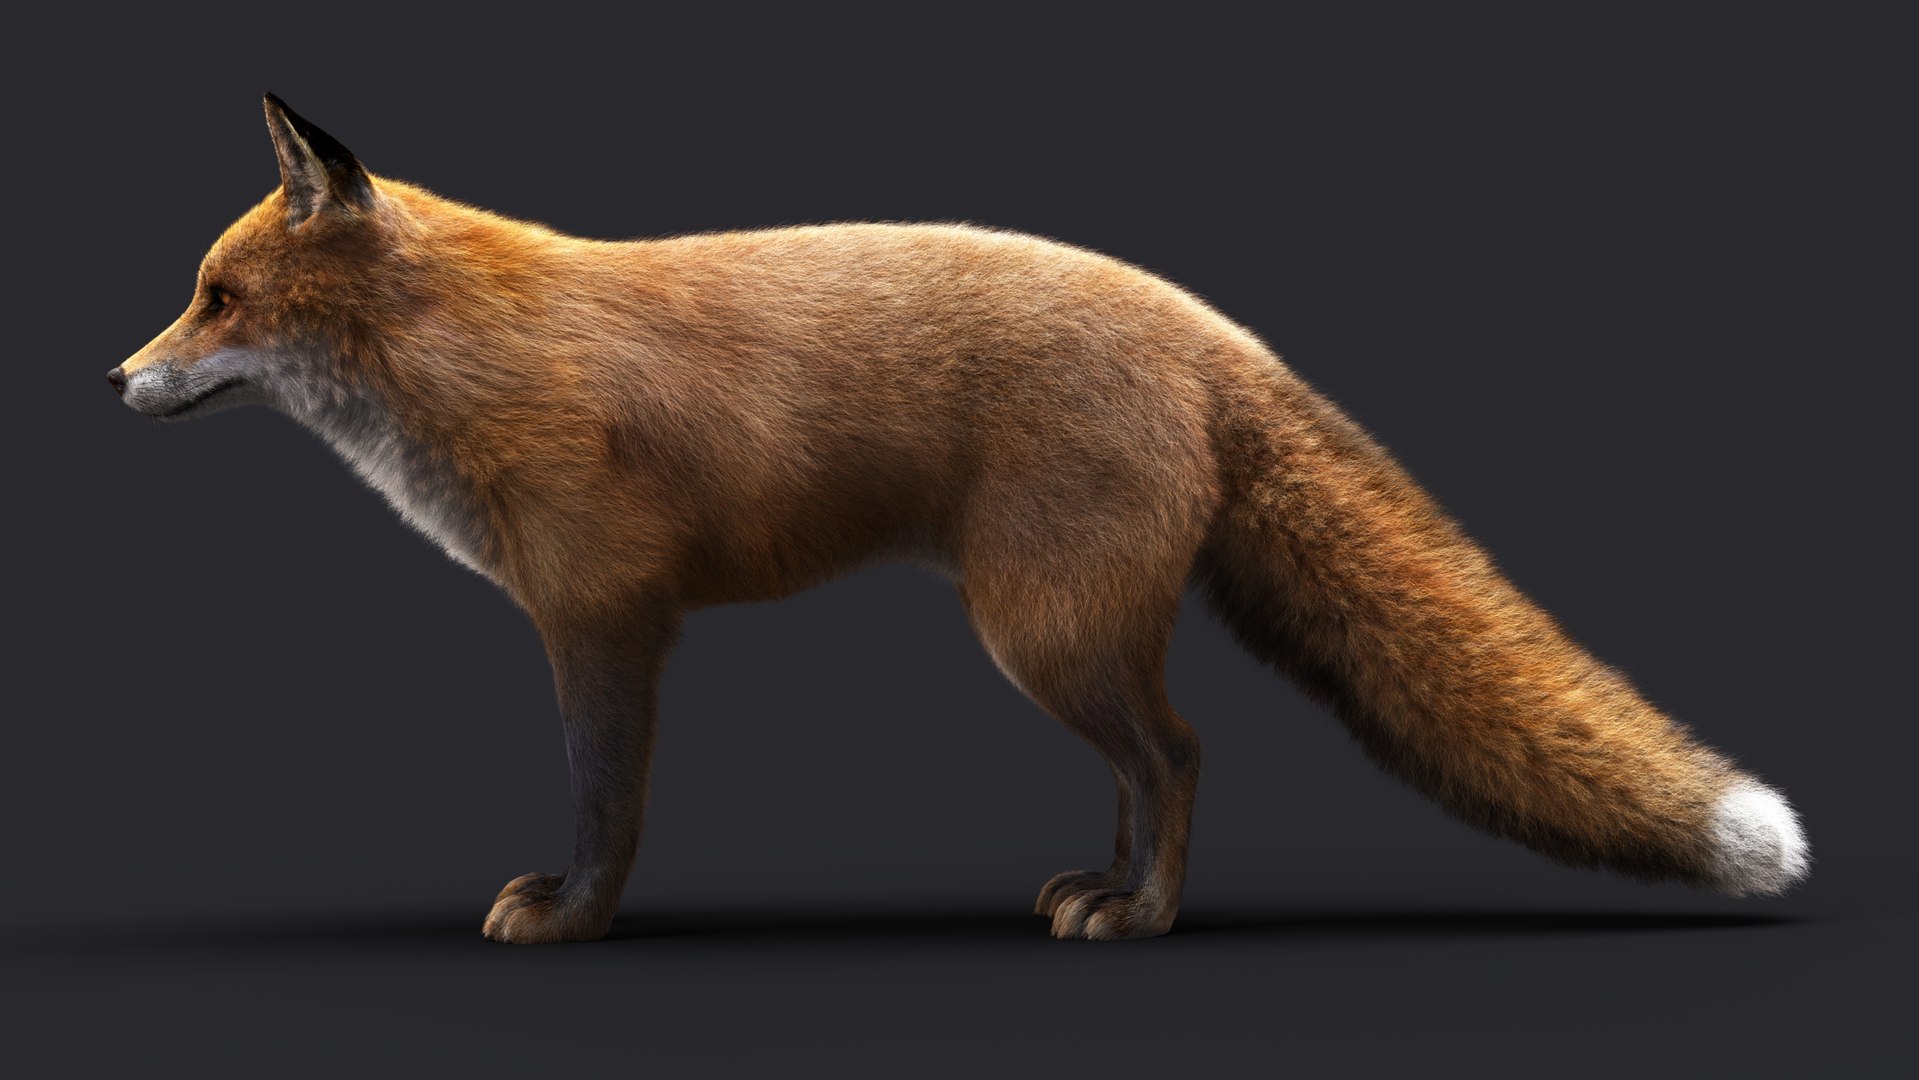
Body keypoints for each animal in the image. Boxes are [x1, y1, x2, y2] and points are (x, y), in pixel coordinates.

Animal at [110, 95, 1808, 944]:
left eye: (217, 296)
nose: (116, 379)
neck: (469, 353)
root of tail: (1210, 329)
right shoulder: (606, 621)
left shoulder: (604, 621)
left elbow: (606, 804)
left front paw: (574, 916)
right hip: (1067, 635)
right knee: (1144, 765)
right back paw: (1094, 888)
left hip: (1040, 633)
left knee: (1177, 754)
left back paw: (1141, 919)